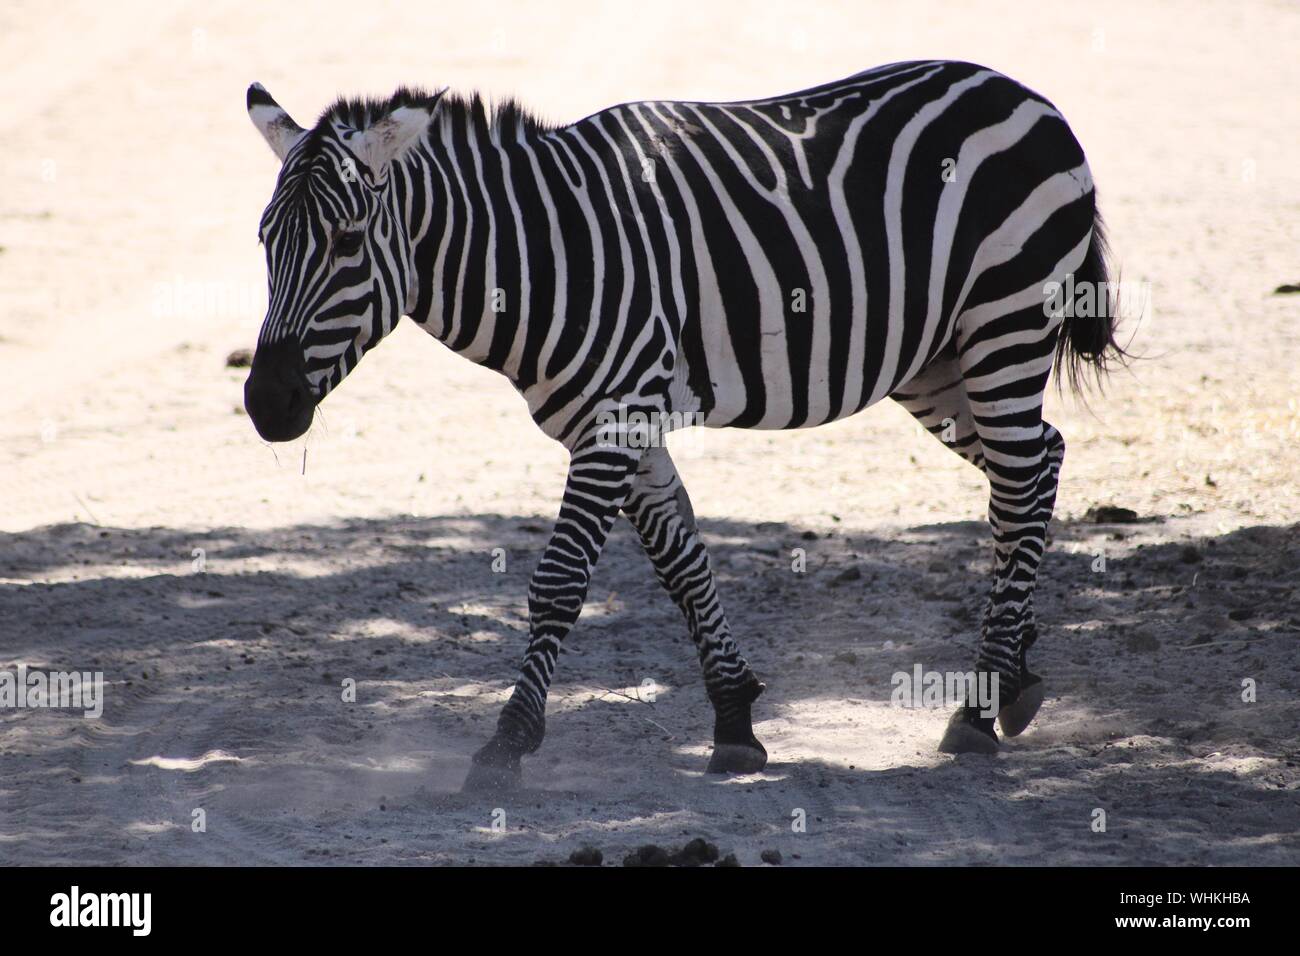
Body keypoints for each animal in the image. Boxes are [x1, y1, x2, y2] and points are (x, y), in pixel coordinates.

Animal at [242, 60, 1123, 788]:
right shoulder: (616, 420)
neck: (540, 256)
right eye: (263, 241)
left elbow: (560, 583)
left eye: (348, 242)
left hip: (1004, 324)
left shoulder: (612, 417)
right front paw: (734, 719)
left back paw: (978, 707)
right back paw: (1013, 676)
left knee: (1020, 479)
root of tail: (1025, 95)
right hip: (937, 362)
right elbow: (681, 560)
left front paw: (508, 743)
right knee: (1035, 466)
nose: (265, 404)